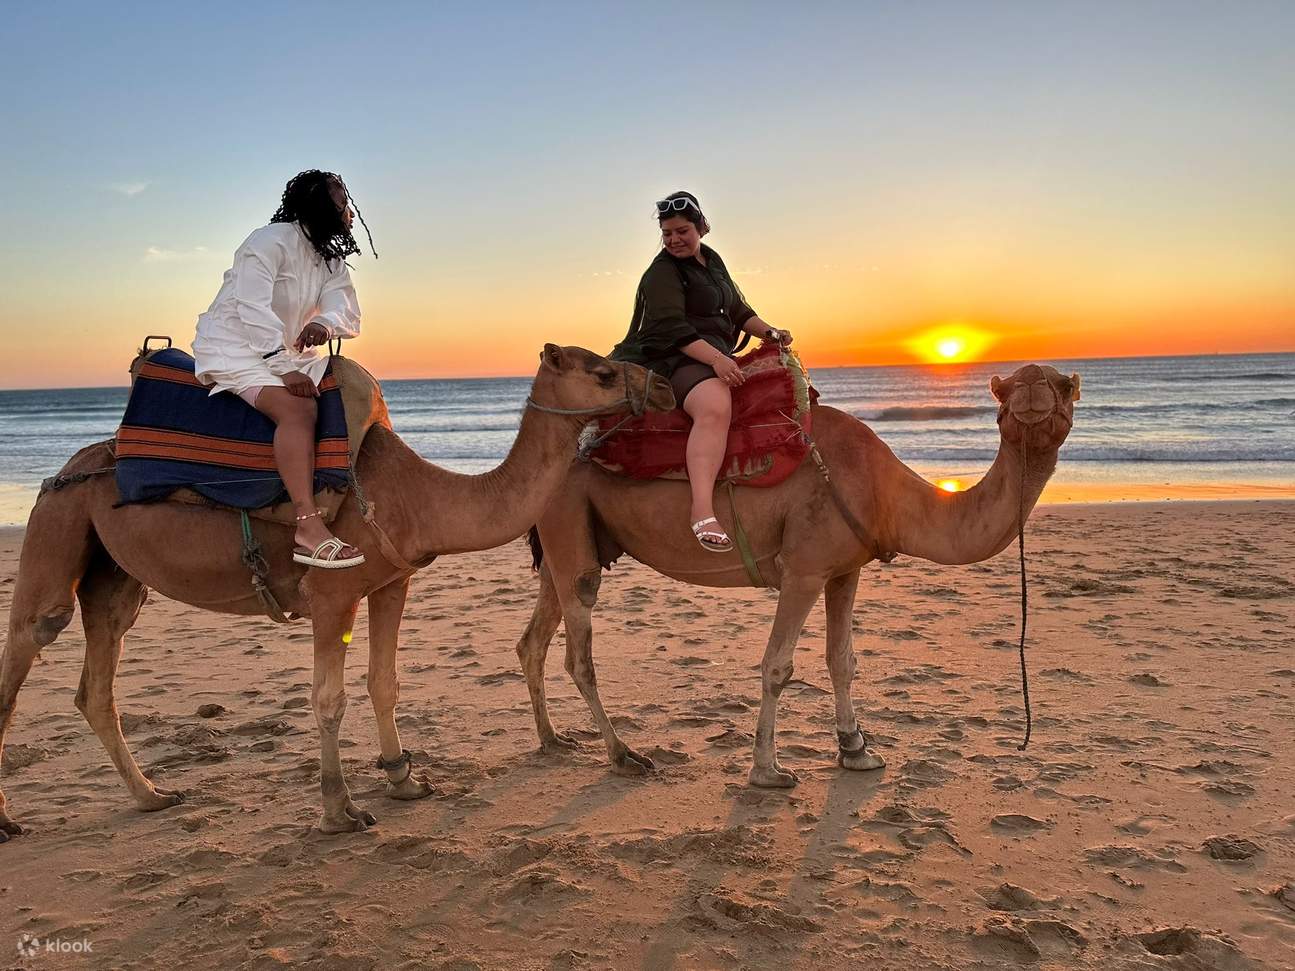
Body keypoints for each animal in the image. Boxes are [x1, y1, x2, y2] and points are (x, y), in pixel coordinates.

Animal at [0, 345, 674, 839]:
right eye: (603, 370)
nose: (665, 386)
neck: (418, 495)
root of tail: (66, 470)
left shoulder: (392, 582)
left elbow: (384, 682)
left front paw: (404, 780)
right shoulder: (332, 595)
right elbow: (328, 698)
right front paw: (338, 810)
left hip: (115, 576)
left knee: (98, 681)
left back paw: (151, 795)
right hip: (57, 527)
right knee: (32, 637)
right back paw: (11, 820)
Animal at [516, 363, 1079, 786]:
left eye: (1065, 385)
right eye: (1005, 389)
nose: (1032, 385)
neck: (882, 492)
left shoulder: (845, 570)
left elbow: (841, 660)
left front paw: (856, 749)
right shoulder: (804, 569)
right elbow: (777, 666)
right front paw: (767, 770)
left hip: (565, 537)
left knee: (534, 640)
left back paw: (552, 739)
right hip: (568, 521)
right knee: (578, 650)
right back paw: (623, 755)